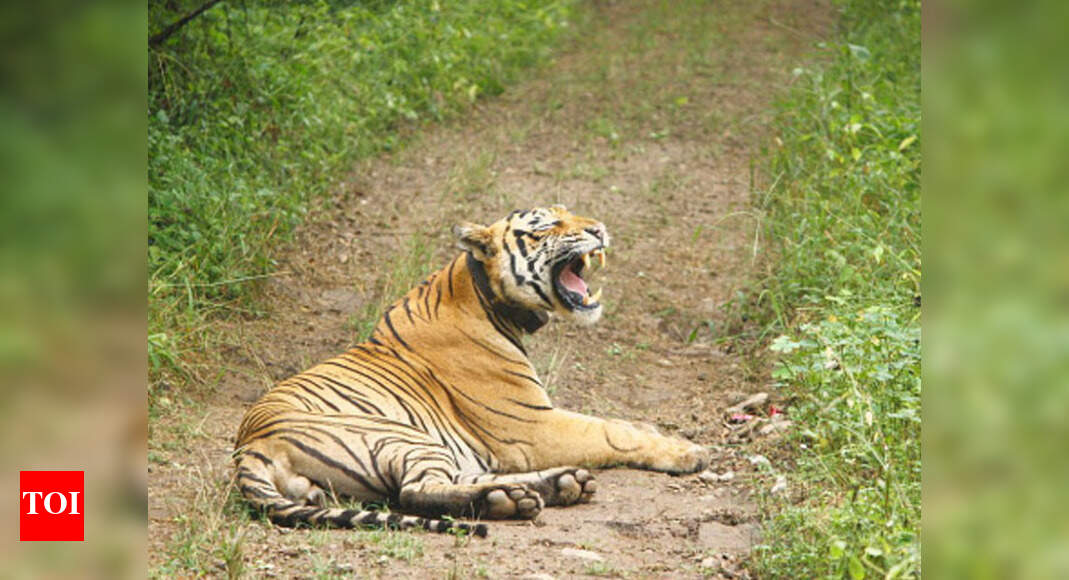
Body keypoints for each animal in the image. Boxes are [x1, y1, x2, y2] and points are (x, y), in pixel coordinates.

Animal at [234, 205, 710, 537]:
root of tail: (247, 448)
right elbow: (611, 432)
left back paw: (554, 486)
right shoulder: (533, 426)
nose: (598, 229)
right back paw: (512, 500)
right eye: (545, 226)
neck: (484, 293)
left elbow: (618, 422)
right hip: (399, 436)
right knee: (414, 492)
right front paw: (687, 451)